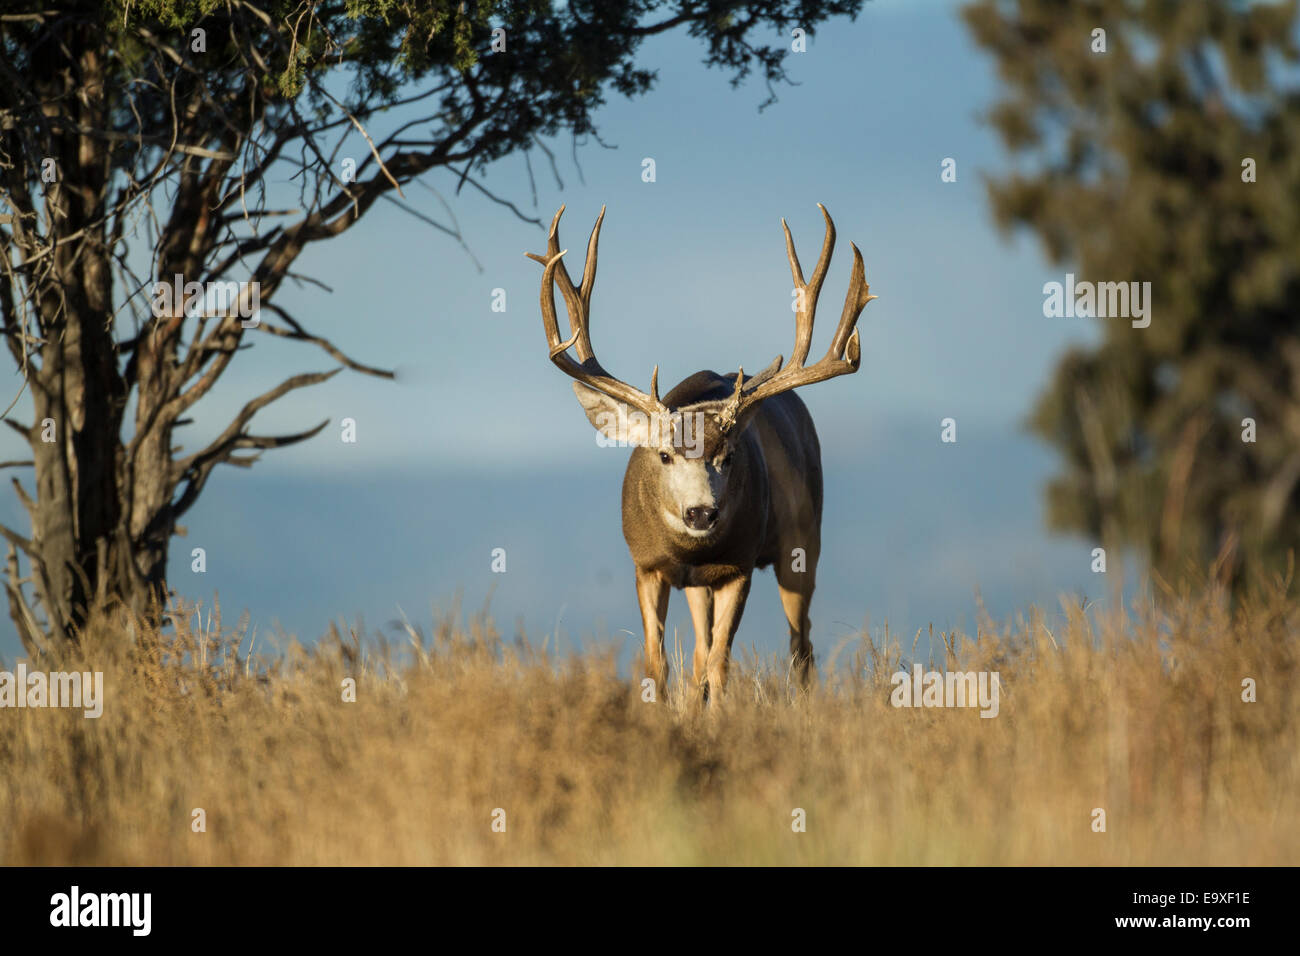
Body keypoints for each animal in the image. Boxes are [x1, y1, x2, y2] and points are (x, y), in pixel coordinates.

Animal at [527, 204, 875, 699]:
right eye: (664, 456)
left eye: (728, 457)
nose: (701, 513)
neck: (687, 552)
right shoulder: (646, 566)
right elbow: (660, 663)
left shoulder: (739, 565)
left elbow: (720, 663)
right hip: (699, 585)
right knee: (698, 650)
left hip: (804, 539)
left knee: (800, 642)